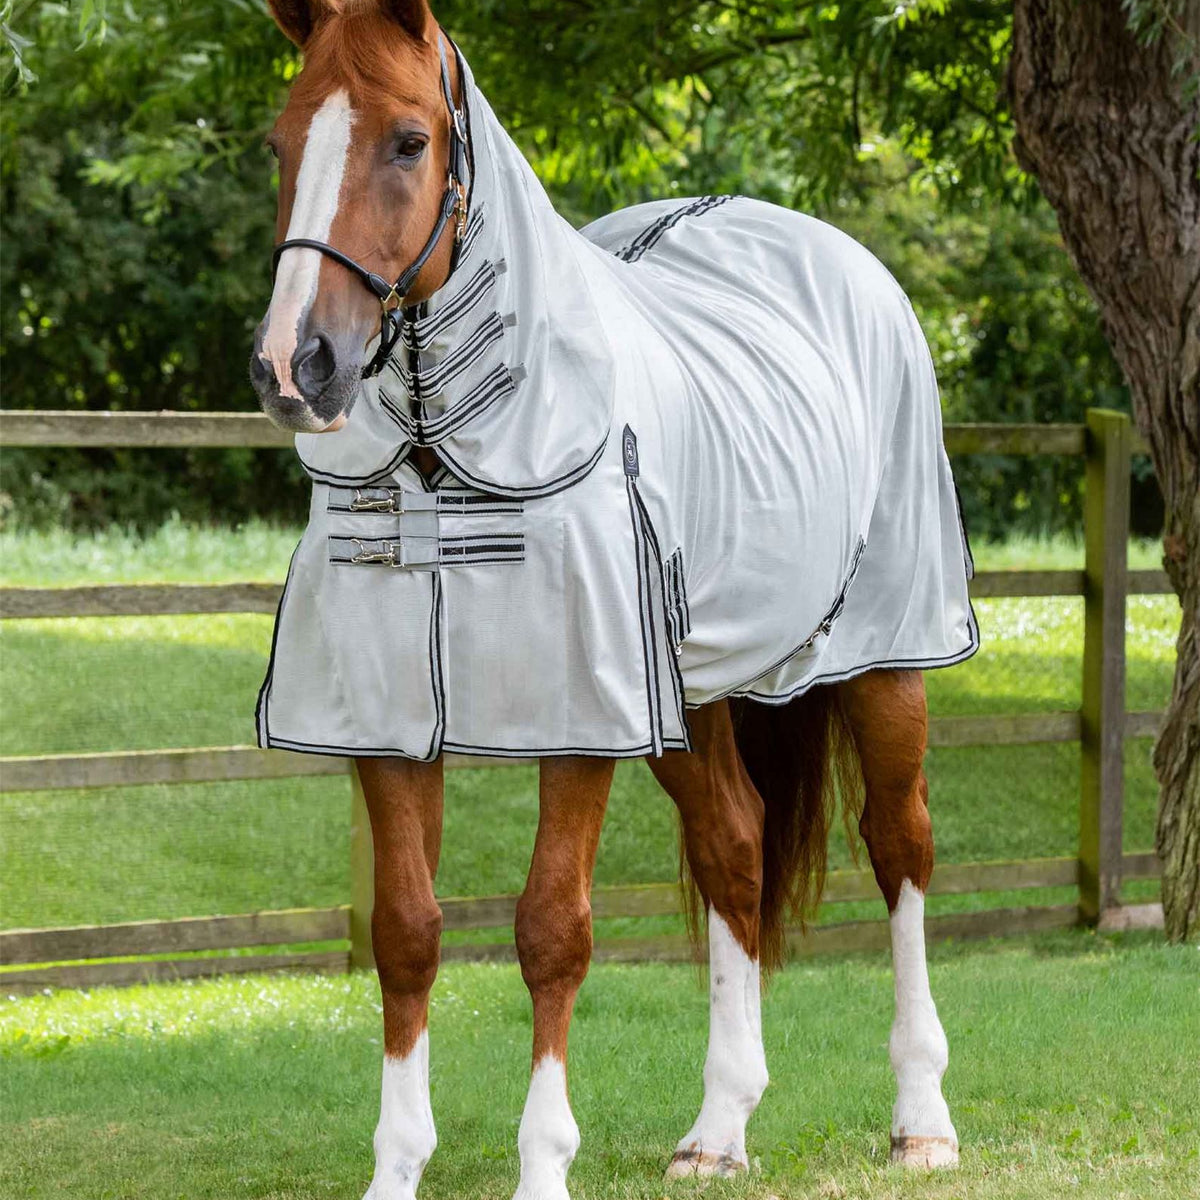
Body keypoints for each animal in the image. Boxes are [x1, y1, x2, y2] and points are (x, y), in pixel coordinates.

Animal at [249, 3, 977, 1197]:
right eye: (280, 143)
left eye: (408, 141)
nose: (293, 365)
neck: (445, 457)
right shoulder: (385, 721)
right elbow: (406, 931)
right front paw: (396, 1168)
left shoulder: (579, 713)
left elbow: (553, 929)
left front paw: (544, 1165)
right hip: (692, 688)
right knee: (735, 844)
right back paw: (718, 1129)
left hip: (889, 654)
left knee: (900, 846)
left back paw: (923, 1119)